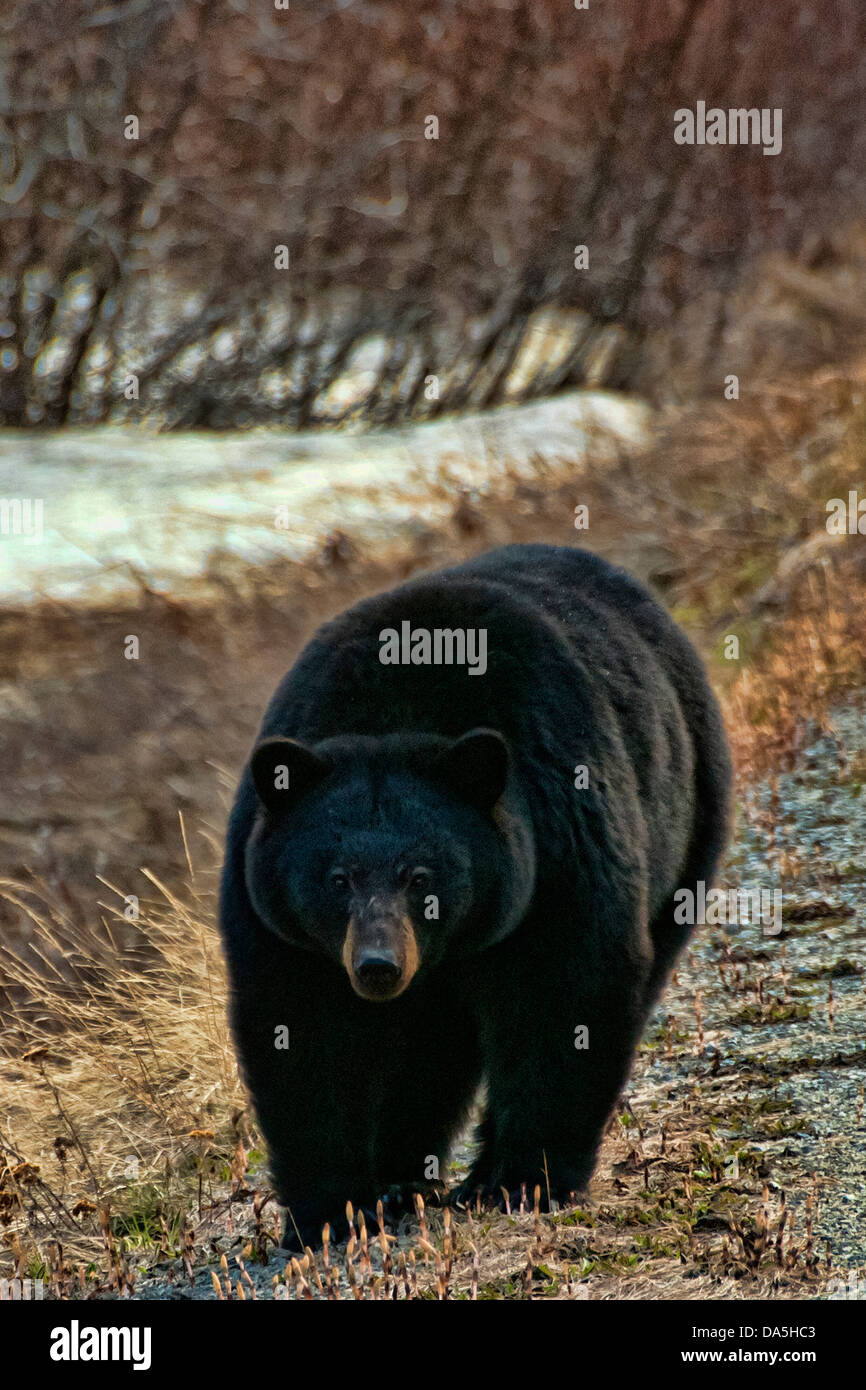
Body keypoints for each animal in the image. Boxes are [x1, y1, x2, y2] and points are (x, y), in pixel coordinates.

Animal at [219, 543, 731, 1250]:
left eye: (420, 876)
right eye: (337, 878)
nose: (377, 967)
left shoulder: (558, 837)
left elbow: (565, 991)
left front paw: (522, 1181)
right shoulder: (276, 914)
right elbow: (299, 1027)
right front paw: (333, 1212)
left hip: (691, 823)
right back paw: (402, 1177)